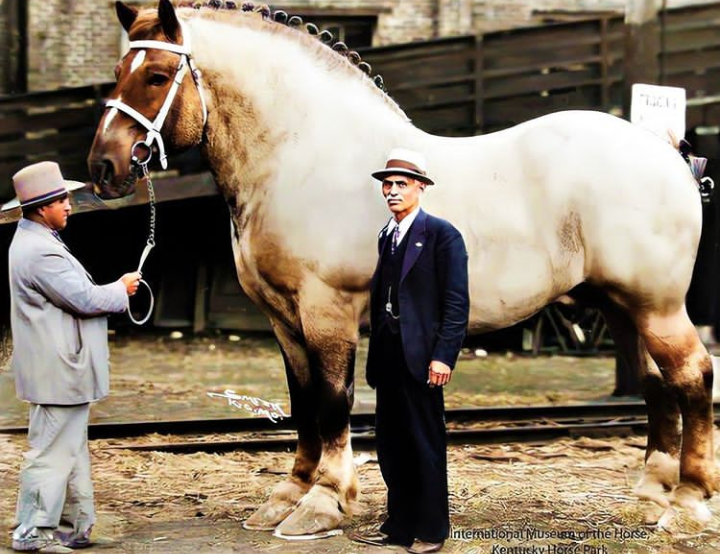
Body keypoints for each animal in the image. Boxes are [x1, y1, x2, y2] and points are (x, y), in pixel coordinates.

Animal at [88, 0, 717, 537]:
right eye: (118, 70)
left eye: (157, 75)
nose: (103, 167)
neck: (303, 152)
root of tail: (666, 150)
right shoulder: (284, 320)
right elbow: (302, 403)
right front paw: (288, 496)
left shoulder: (327, 311)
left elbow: (333, 402)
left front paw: (323, 502)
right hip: (622, 308)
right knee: (656, 385)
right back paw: (649, 497)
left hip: (657, 307)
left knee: (692, 377)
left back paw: (688, 504)